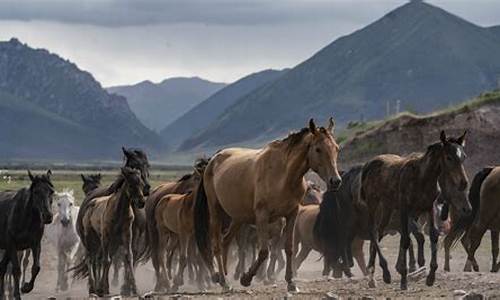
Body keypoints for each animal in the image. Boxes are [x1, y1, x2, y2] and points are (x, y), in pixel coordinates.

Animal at [0, 170, 54, 298]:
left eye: (51, 191)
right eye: (36, 192)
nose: (48, 216)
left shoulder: (35, 244)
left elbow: (36, 267)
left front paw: (26, 287)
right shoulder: (12, 246)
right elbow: (16, 270)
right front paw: (16, 294)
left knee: (2, 267)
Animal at [73, 168, 146, 296]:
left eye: (142, 184)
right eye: (131, 185)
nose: (141, 202)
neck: (119, 212)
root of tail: (90, 203)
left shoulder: (127, 236)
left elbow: (128, 257)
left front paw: (134, 288)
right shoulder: (106, 237)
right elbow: (106, 260)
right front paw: (103, 289)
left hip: (104, 242)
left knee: (97, 259)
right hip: (90, 238)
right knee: (90, 258)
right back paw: (93, 287)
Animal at [193, 118, 342, 292]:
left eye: (336, 148)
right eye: (318, 149)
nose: (335, 181)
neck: (282, 176)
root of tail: (213, 160)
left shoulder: (292, 214)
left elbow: (289, 248)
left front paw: (291, 282)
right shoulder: (262, 216)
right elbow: (264, 251)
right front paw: (246, 278)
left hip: (238, 217)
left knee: (225, 241)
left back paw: (225, 276)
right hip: (215, 211)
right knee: (216, 244)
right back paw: (224, 281)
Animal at [360, 130, 472, 290]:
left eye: (464, 156)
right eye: (448, 157)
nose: (463, 183)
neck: (421, 178)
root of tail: (369, 164)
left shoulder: (428, 208)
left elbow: (432, 235)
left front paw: (430, 276)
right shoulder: (405, 209)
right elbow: (406, 240)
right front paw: (404, 278)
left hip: (388, 207)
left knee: (379, 232)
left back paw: (375, 274)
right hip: (373, 204)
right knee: (373, 231)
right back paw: (382, 273)